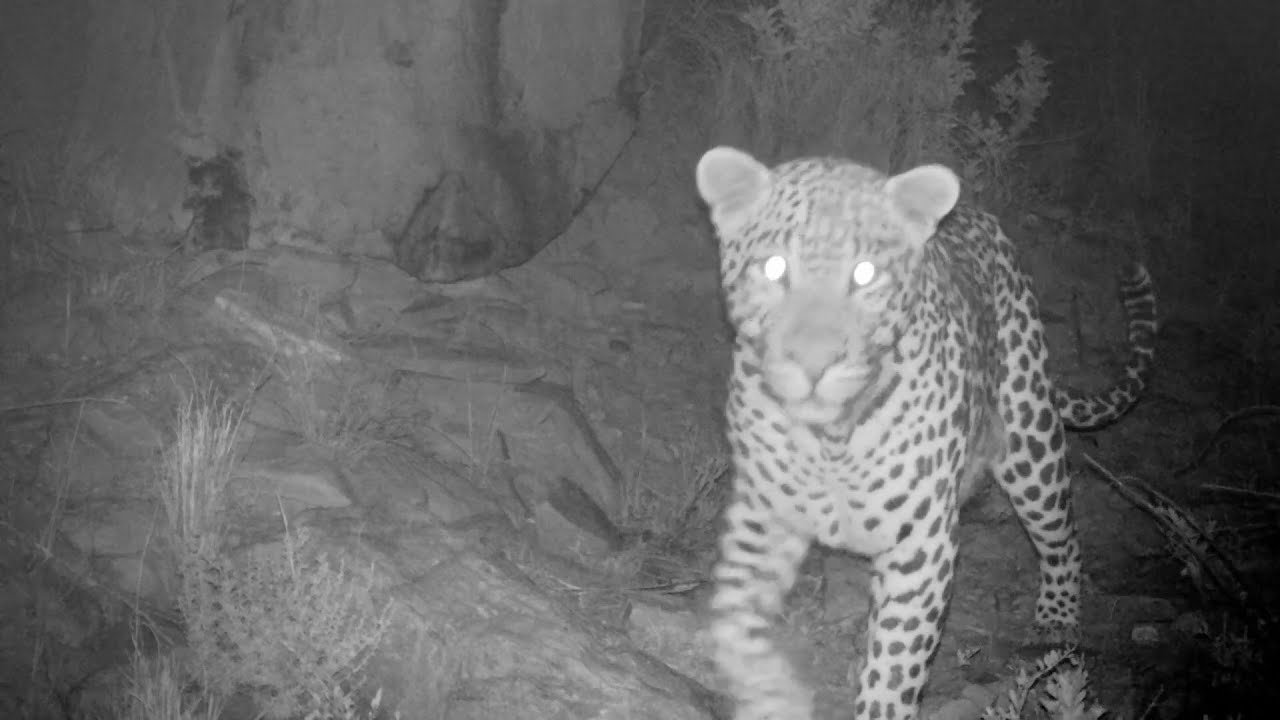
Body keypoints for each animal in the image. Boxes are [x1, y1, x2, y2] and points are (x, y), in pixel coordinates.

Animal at [695, 146, 1156, 720]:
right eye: (774, 267)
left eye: (865, 274)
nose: (813, 361)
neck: (830, 440)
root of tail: (975, 214)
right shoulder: (761, 517)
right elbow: (737, 621)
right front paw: (764, 687)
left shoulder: (920, 547)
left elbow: (894, 670)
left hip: (1030, 440)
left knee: (1062, 537)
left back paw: (1056, 621)